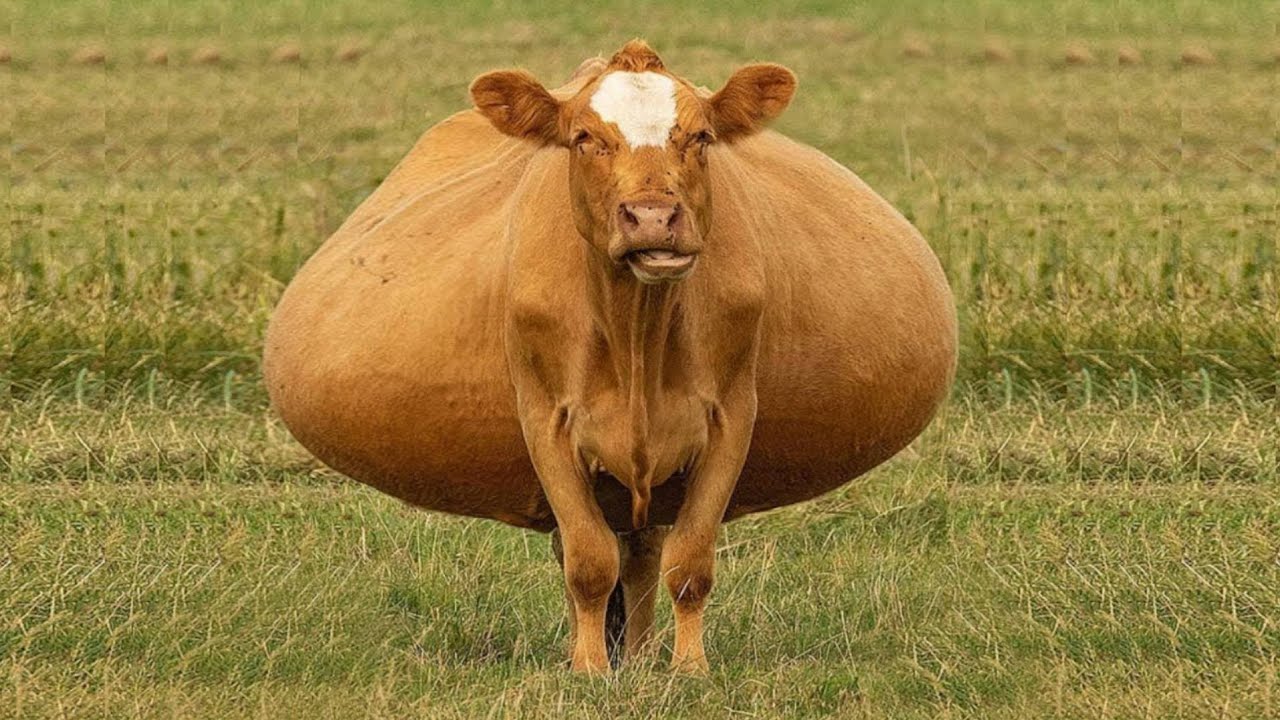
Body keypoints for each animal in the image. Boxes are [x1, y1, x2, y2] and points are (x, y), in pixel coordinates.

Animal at [263, 40, 957, 674]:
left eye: (701, 136)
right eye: (583, 139)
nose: (652, 216)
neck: (637, 333)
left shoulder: (731, 415)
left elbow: (689, 562)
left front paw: (688, 670)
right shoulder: (545, 420)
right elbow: (589, 562)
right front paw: (590, 670)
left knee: (645, 553)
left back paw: (643, 657)